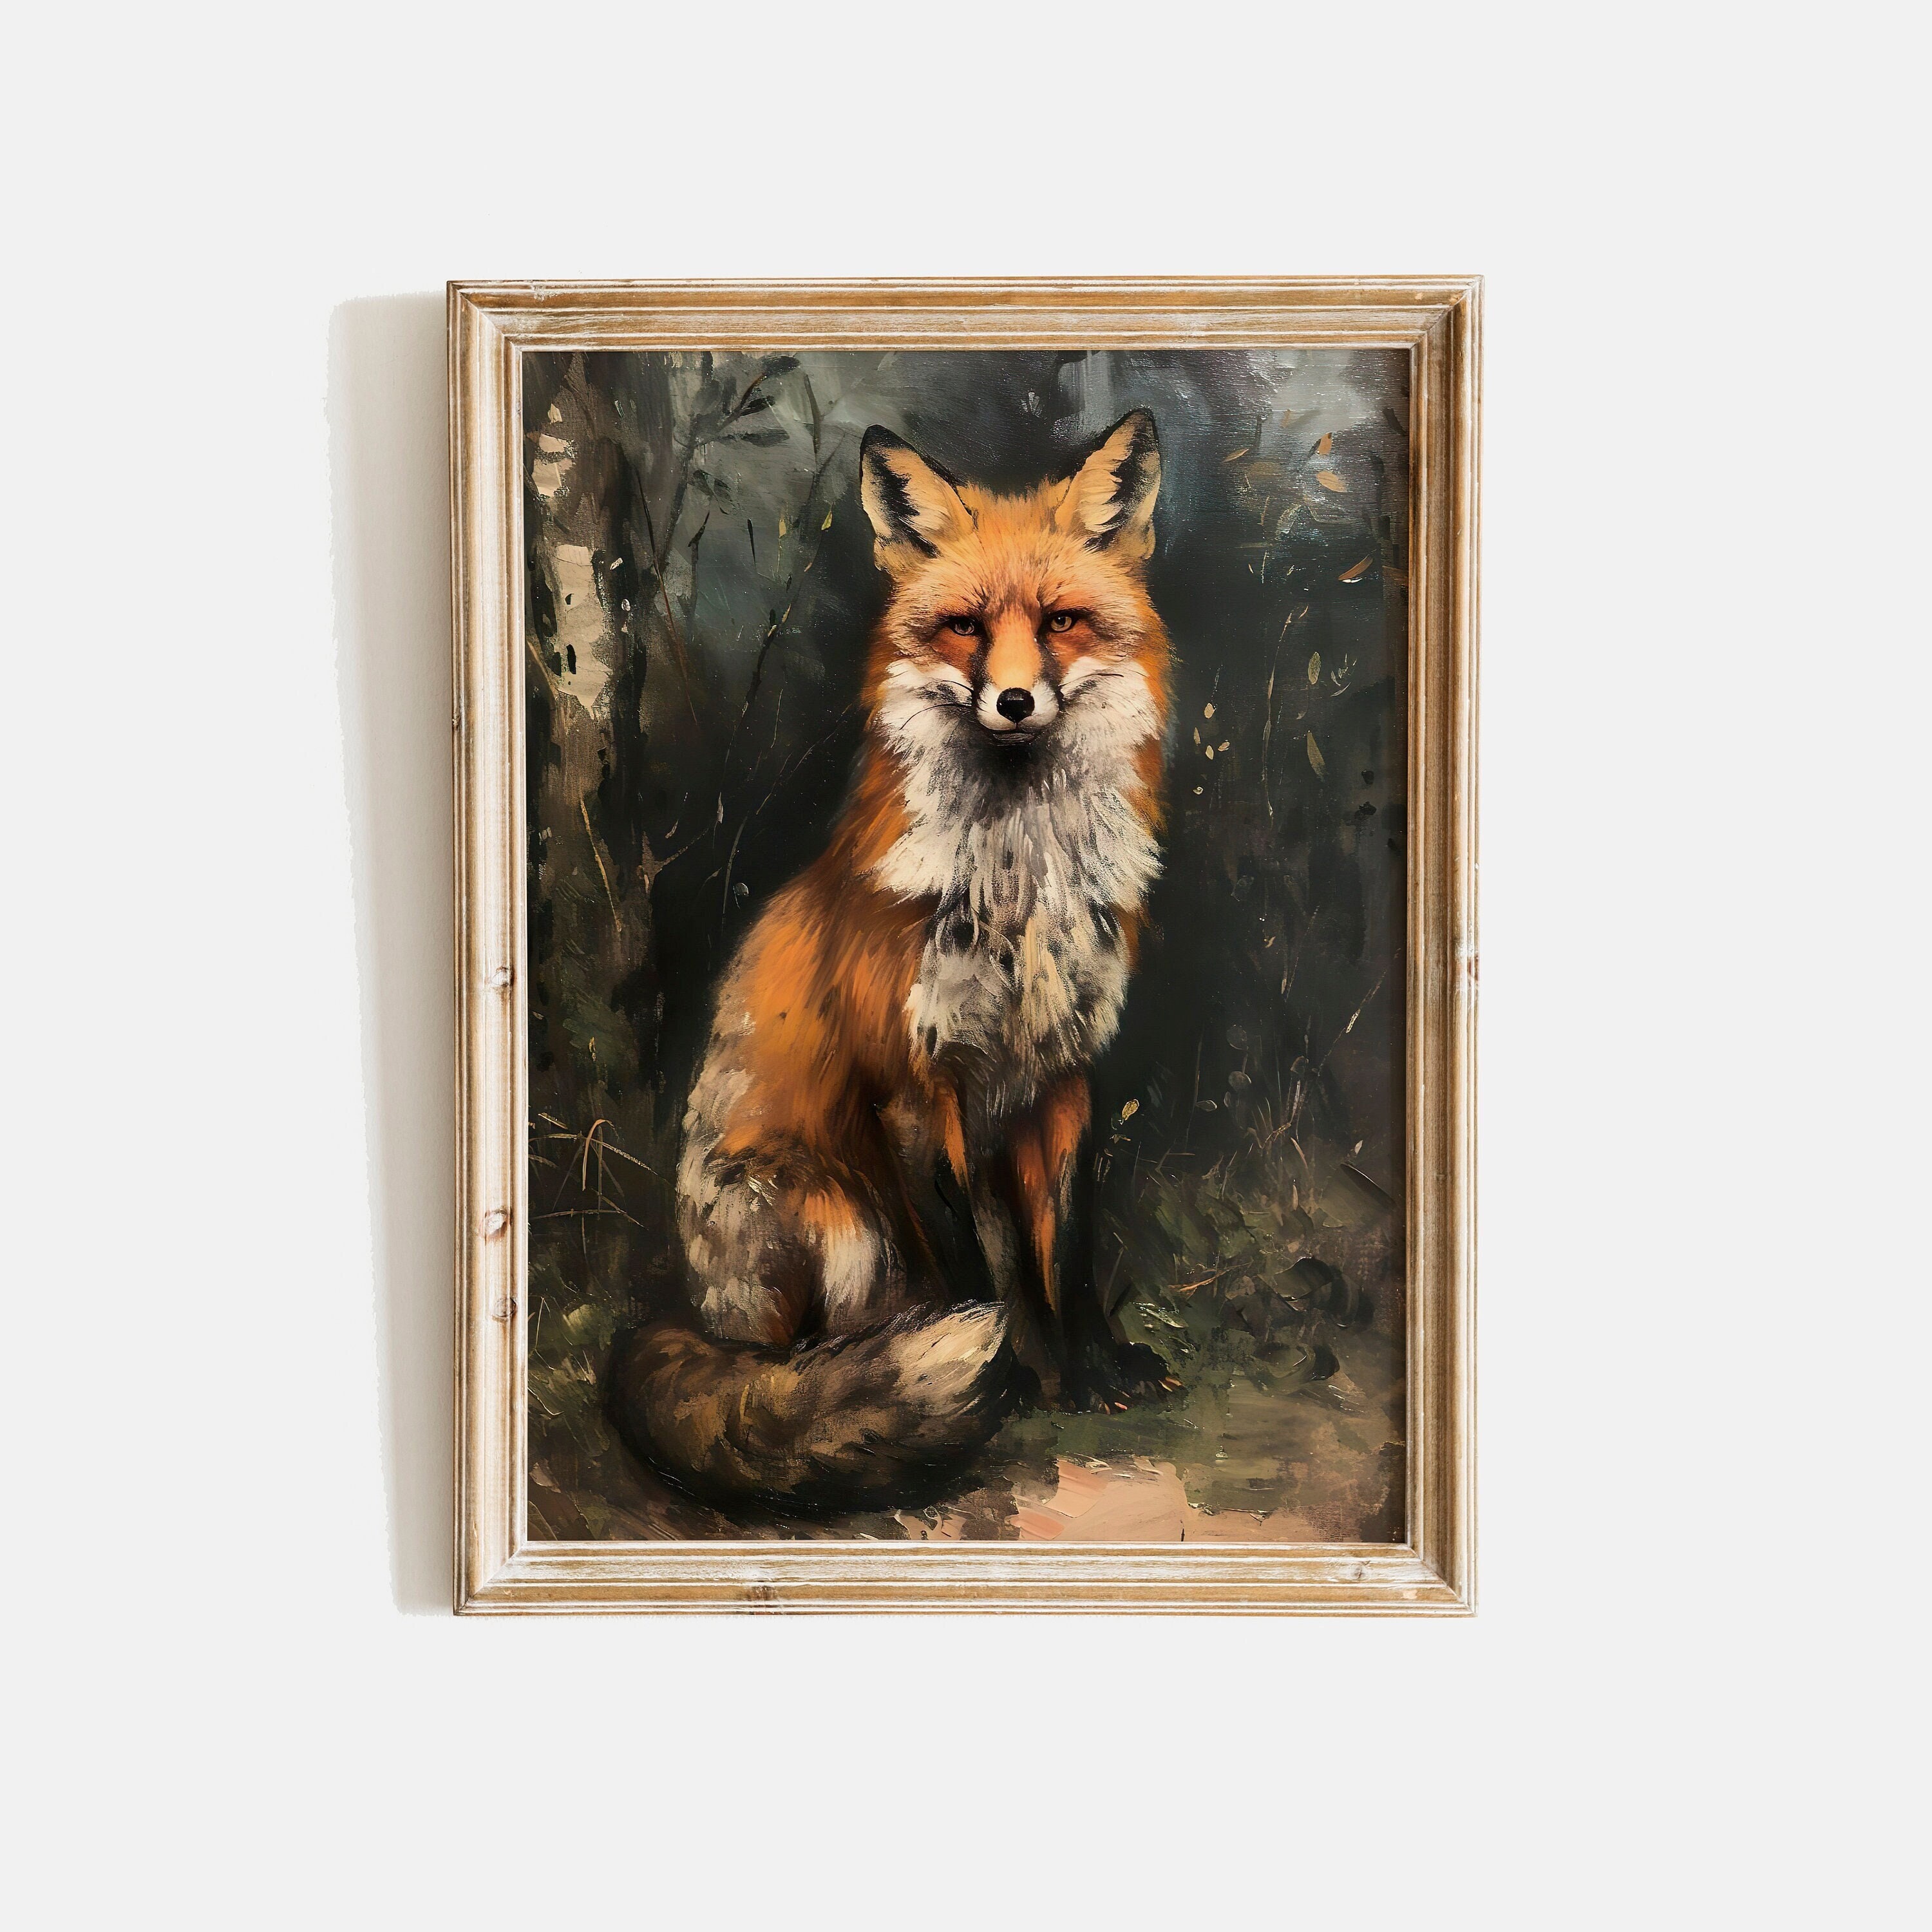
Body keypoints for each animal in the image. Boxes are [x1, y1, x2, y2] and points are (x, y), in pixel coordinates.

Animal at [611, 409, 1177, 1510]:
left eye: (1061, 622)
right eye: (964, 626)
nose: (1013, 701)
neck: (1016, 886)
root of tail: (687, 1311)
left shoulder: (1064, 1075)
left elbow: (1068, 1251)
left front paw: (1089, 1368)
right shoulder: (915, 1081)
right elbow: (968, 1269)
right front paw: (1010, 1382)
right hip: (827, 1207)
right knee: (794, 1359)